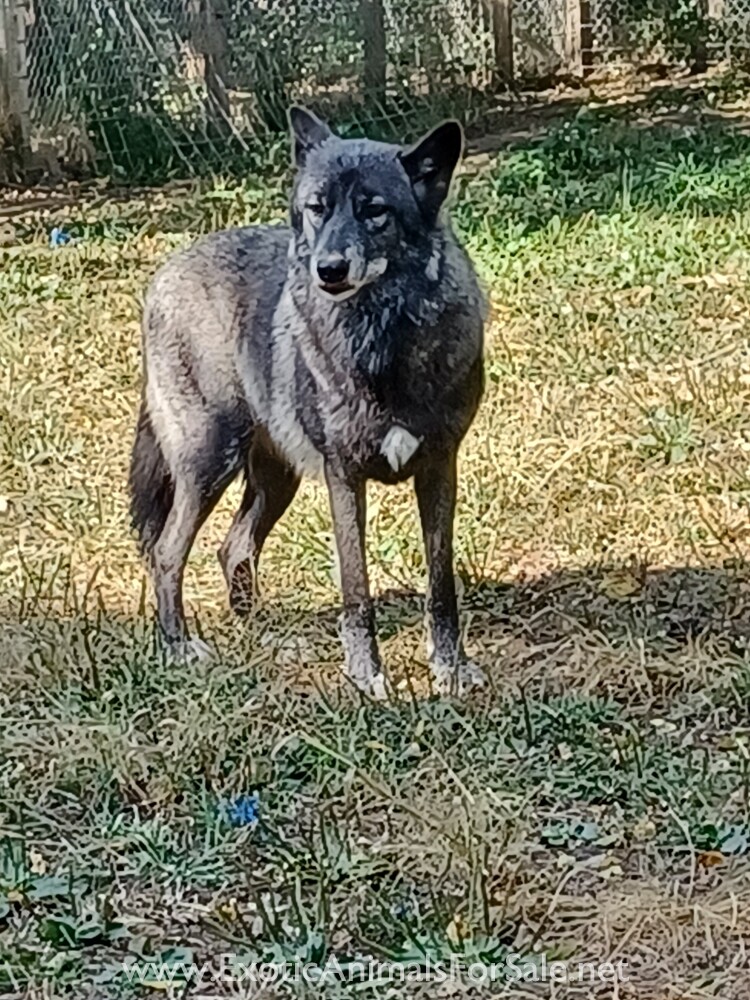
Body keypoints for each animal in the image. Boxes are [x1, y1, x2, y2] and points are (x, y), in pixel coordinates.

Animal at [129, 107, 486, 698]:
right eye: (317, 208)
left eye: (374, 211)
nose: (329, 269)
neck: (379, 341)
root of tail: (163, 276)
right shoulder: (345, 479)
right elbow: (356, 590)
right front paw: (367, 677)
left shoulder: (439, 470)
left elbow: (441, 585)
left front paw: (451, 668)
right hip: (209, 467)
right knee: (166, 553)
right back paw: (179, 646)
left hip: (276, 481)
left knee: (233, 547)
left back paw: (270, 639)